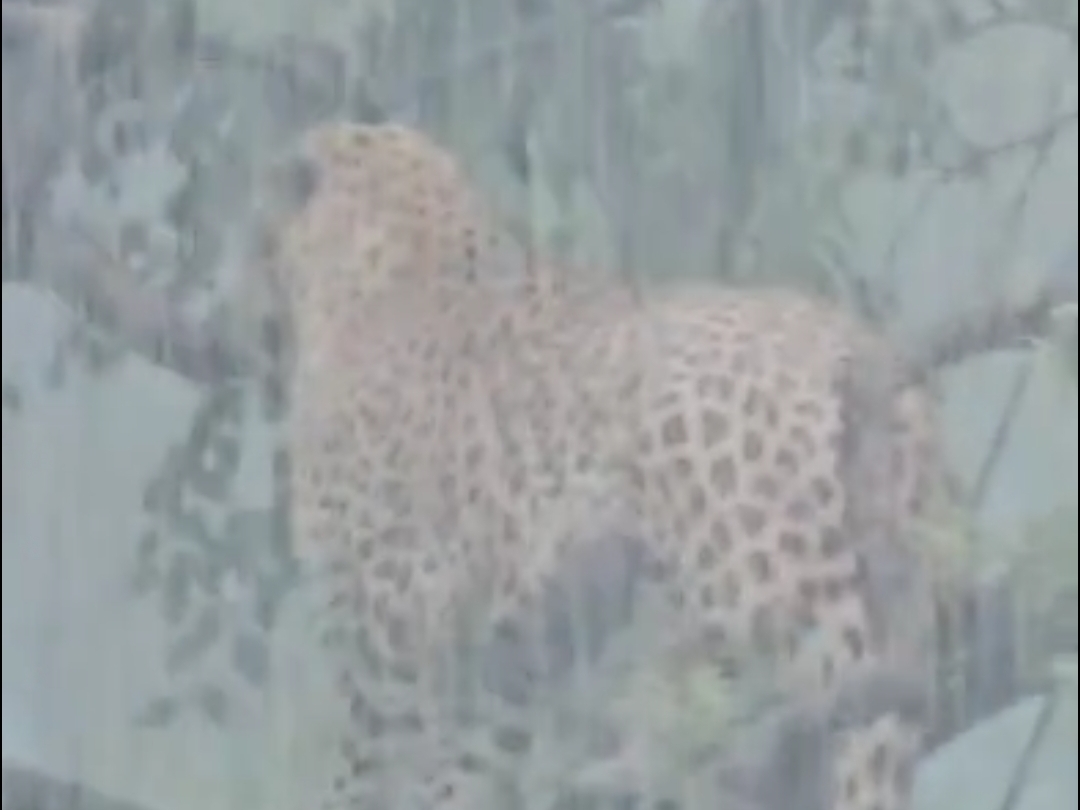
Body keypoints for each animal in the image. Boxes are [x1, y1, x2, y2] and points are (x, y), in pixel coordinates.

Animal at [240, 120, 1071, 810]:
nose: (244, 295)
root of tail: (855, 343)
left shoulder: (381, 617)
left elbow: (366, 760)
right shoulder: (503, 649)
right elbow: (468, 762)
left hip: (751, 553)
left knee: (852, 684)